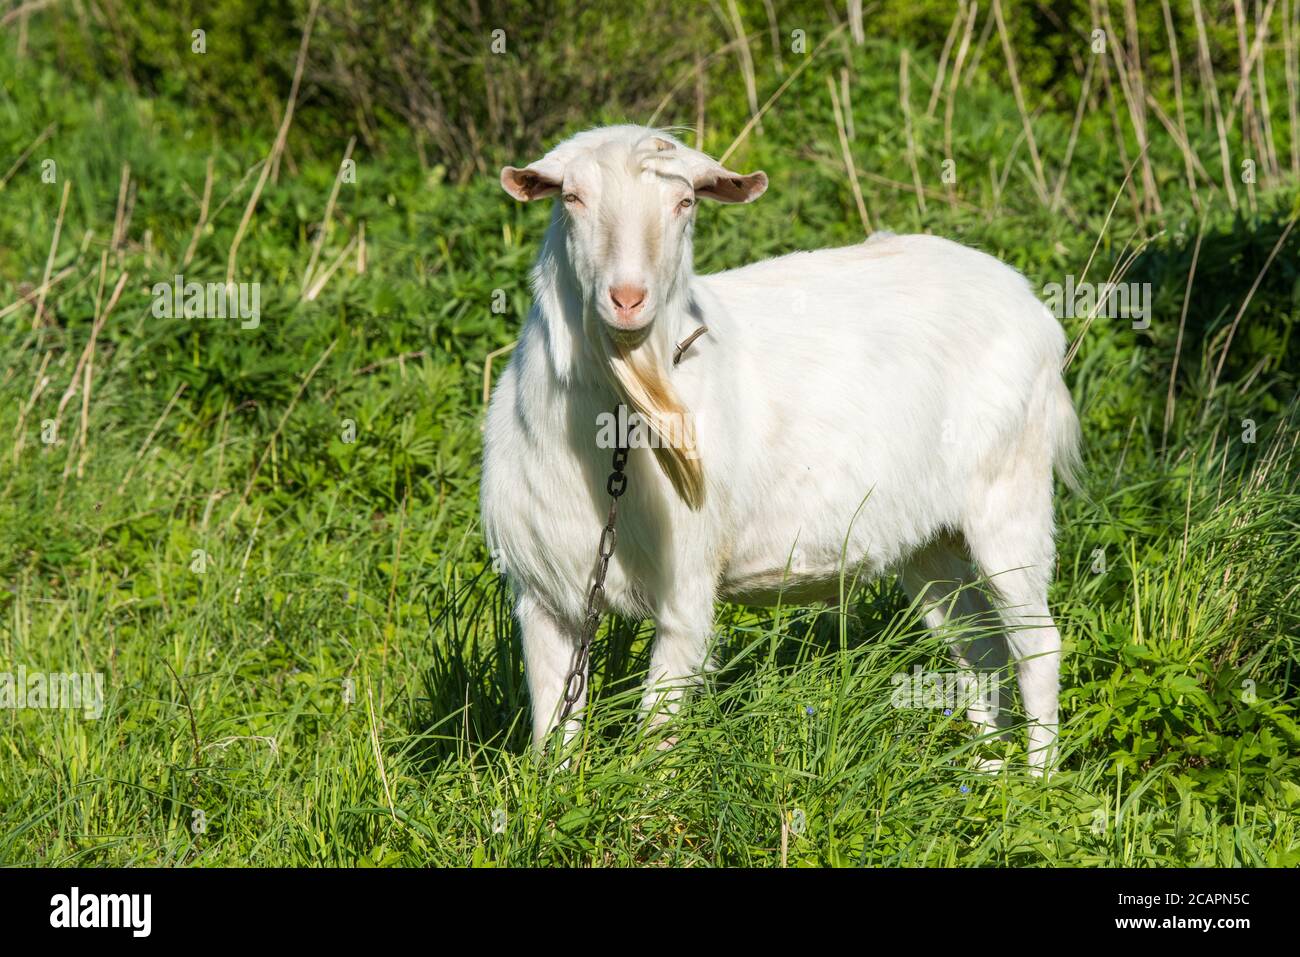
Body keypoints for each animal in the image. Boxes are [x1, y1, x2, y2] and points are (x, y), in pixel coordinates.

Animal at [481, 125, 1081, 772]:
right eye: (572, 198)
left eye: (685, 203)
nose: (628, 298)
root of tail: (1030, 302)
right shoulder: (545, 594)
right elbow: (553, 726)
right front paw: (554, 793)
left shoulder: (686, 587)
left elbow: (657, 734)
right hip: (929, 538)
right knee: (978, 646)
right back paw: (986, 770)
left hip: (1009, 496)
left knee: (1036, 643)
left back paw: (1036, 781)